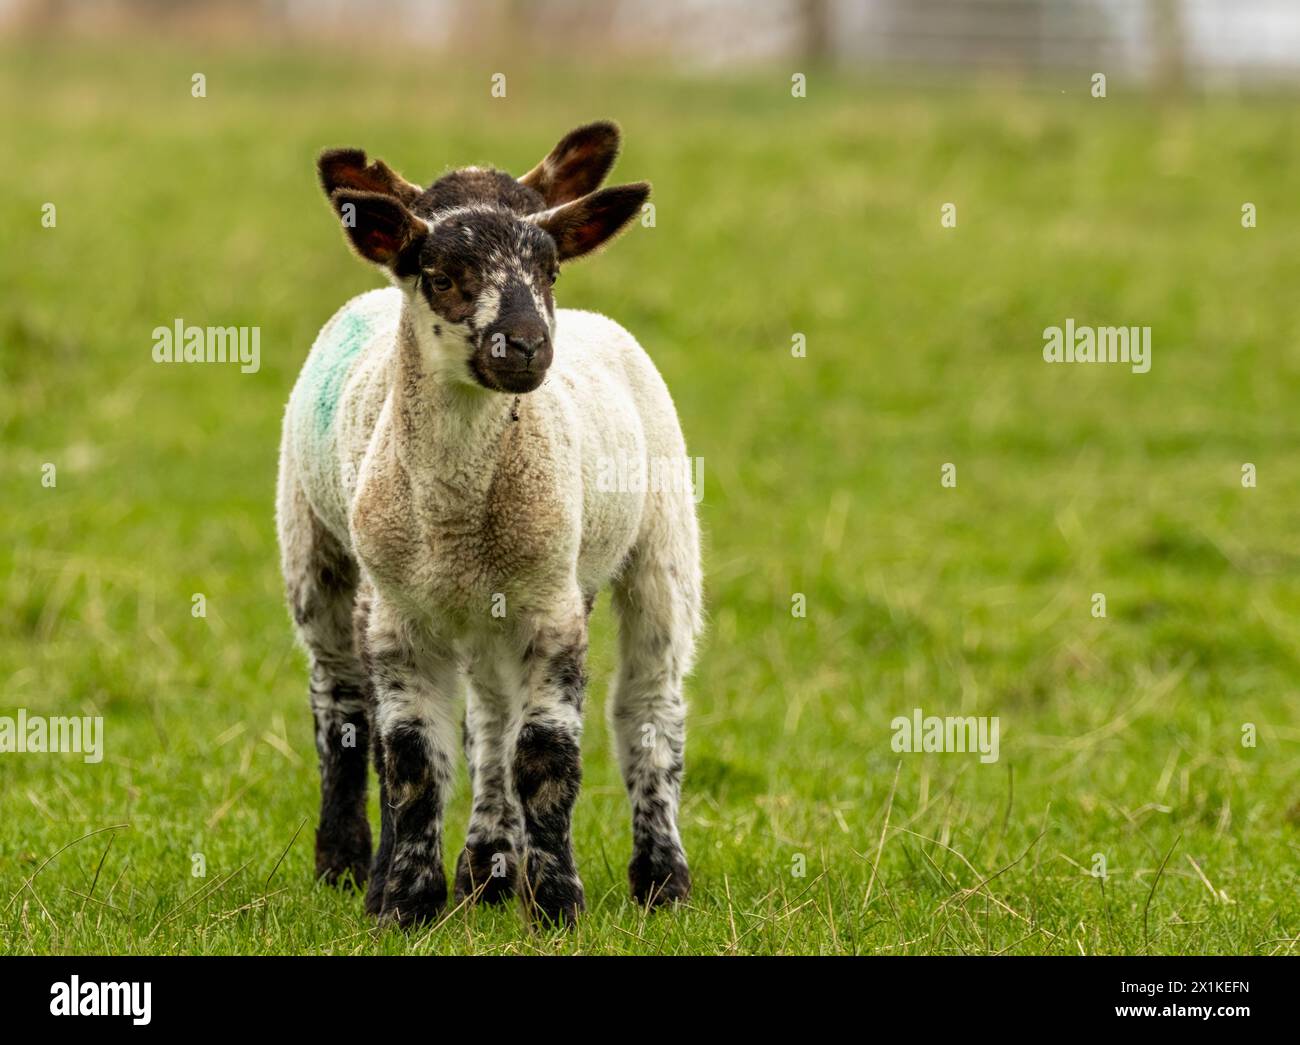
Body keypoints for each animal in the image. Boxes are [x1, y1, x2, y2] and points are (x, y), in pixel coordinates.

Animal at [275, 122, 701, 928]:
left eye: (551, 272)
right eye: (443, 275)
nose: (528, 346)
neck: (459, 513)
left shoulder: (551, 606)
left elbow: (544, 758)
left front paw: (557, 902)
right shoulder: (398, 613)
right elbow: (410, 759)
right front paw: (405, 901)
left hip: (658, 544)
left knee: (645, 709)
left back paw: (661, 878)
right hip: (315, 550)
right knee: (348, 706)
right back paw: (372, 863)